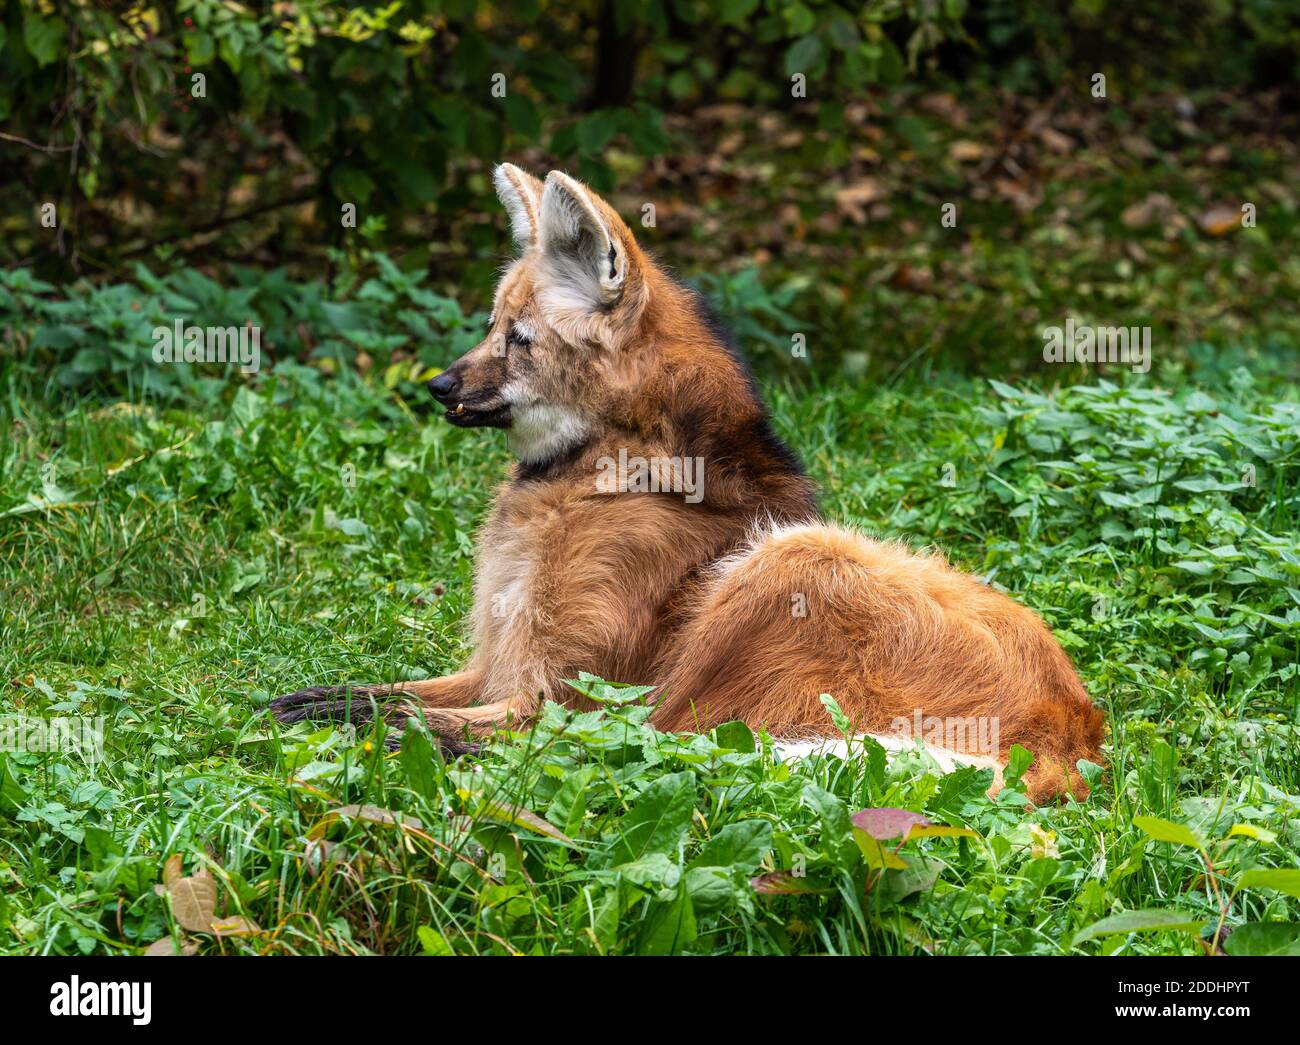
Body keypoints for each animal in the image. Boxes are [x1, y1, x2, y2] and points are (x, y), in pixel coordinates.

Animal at [271, 164, 1105, 802]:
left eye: (520, 339)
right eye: (489, 326)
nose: (439, 386)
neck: (604, 463)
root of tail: (1075, 736)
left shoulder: (561, 688)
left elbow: (473, 718)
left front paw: (338, 721)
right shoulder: (494, 664)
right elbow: (393, 687)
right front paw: (318, 697)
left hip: (795, 561)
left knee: (634, 740)